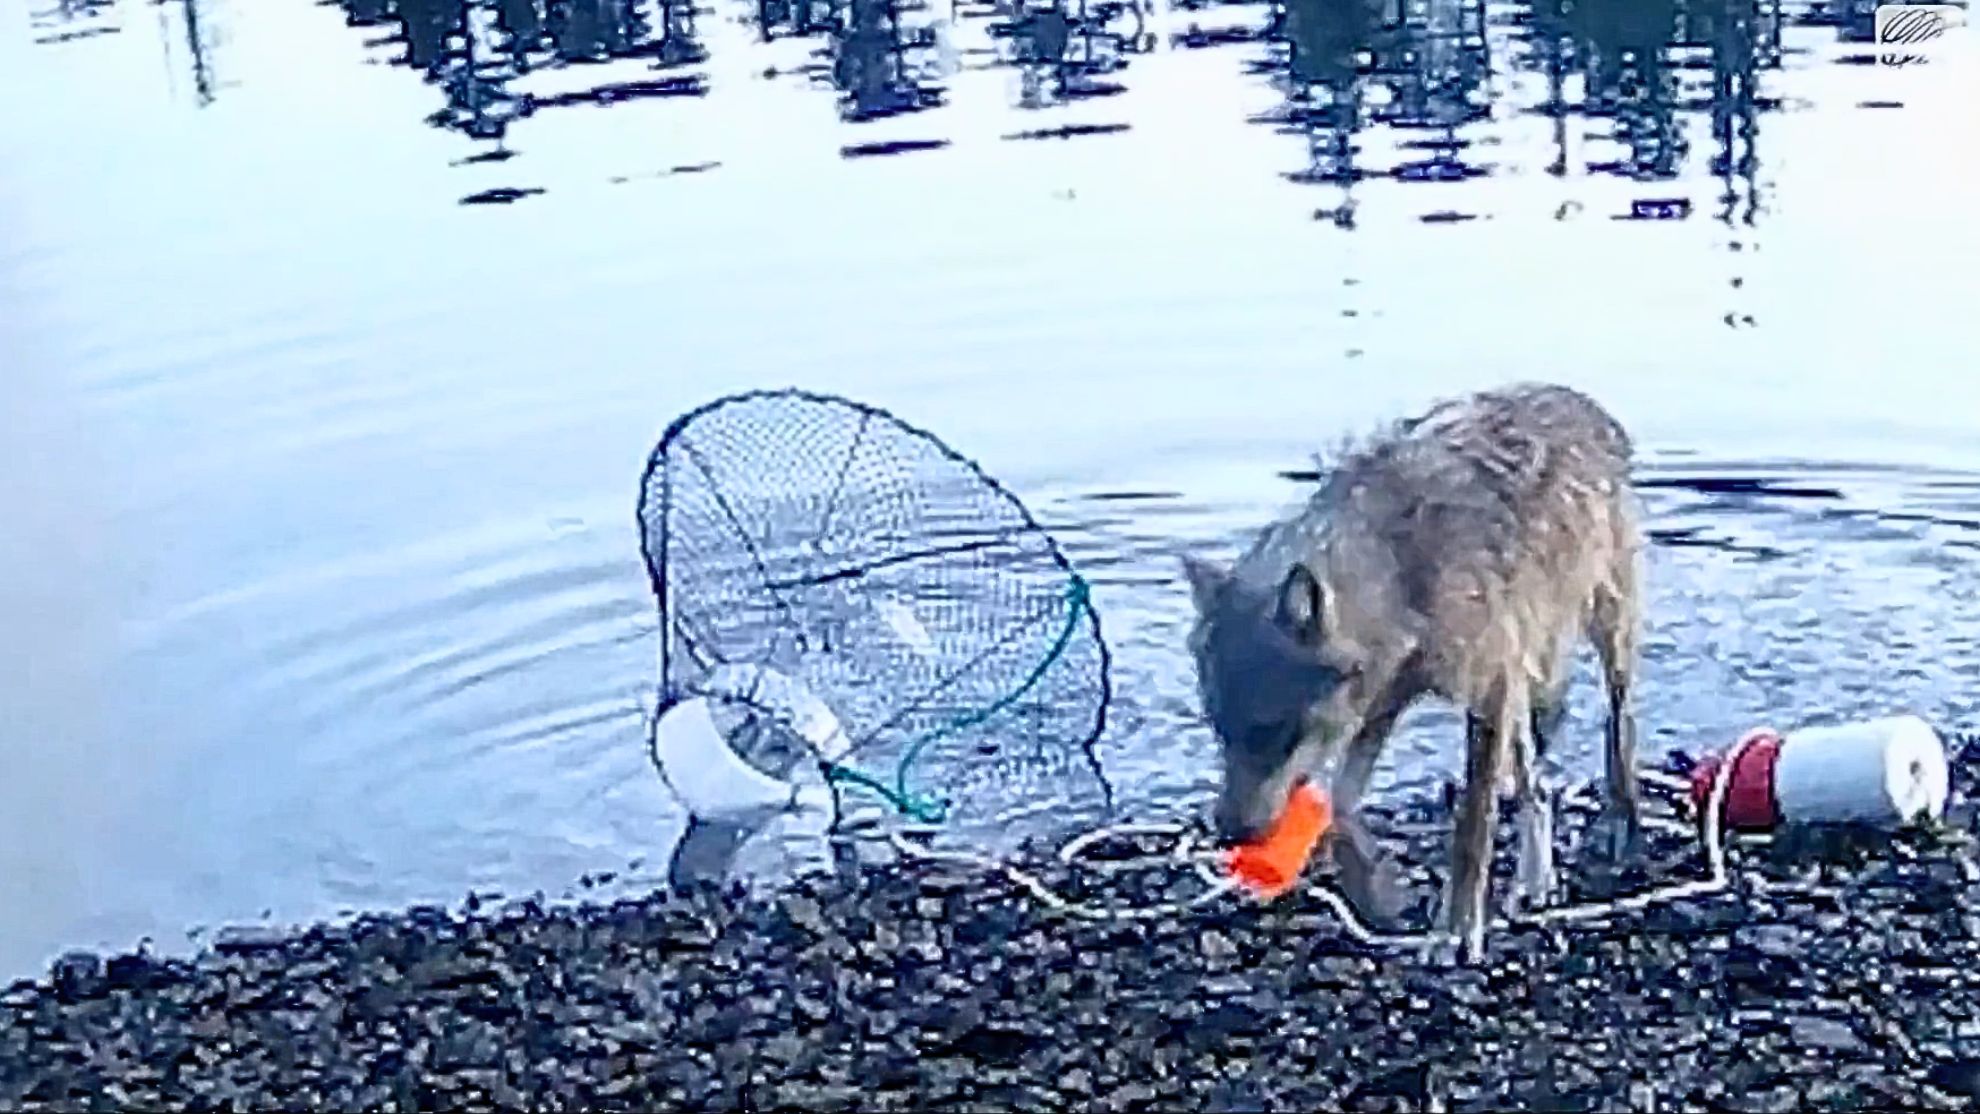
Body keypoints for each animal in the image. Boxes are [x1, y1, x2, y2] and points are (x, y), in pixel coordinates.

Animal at [1181, 382, 1645, 963]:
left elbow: (1472, 825)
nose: (1227, 834)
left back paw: (1620, 827)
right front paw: (1379, 893)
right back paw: (1534, 885)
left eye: (1274, 731)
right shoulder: (1385, 701)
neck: (1397, 571)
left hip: (1605, 628)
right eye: (1220, 732)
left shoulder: (1486, 691)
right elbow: (1342, 805)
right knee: (1536, 786)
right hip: (1523, 679)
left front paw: (1454, 933)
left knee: (1618, 724)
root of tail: (1580, 401)